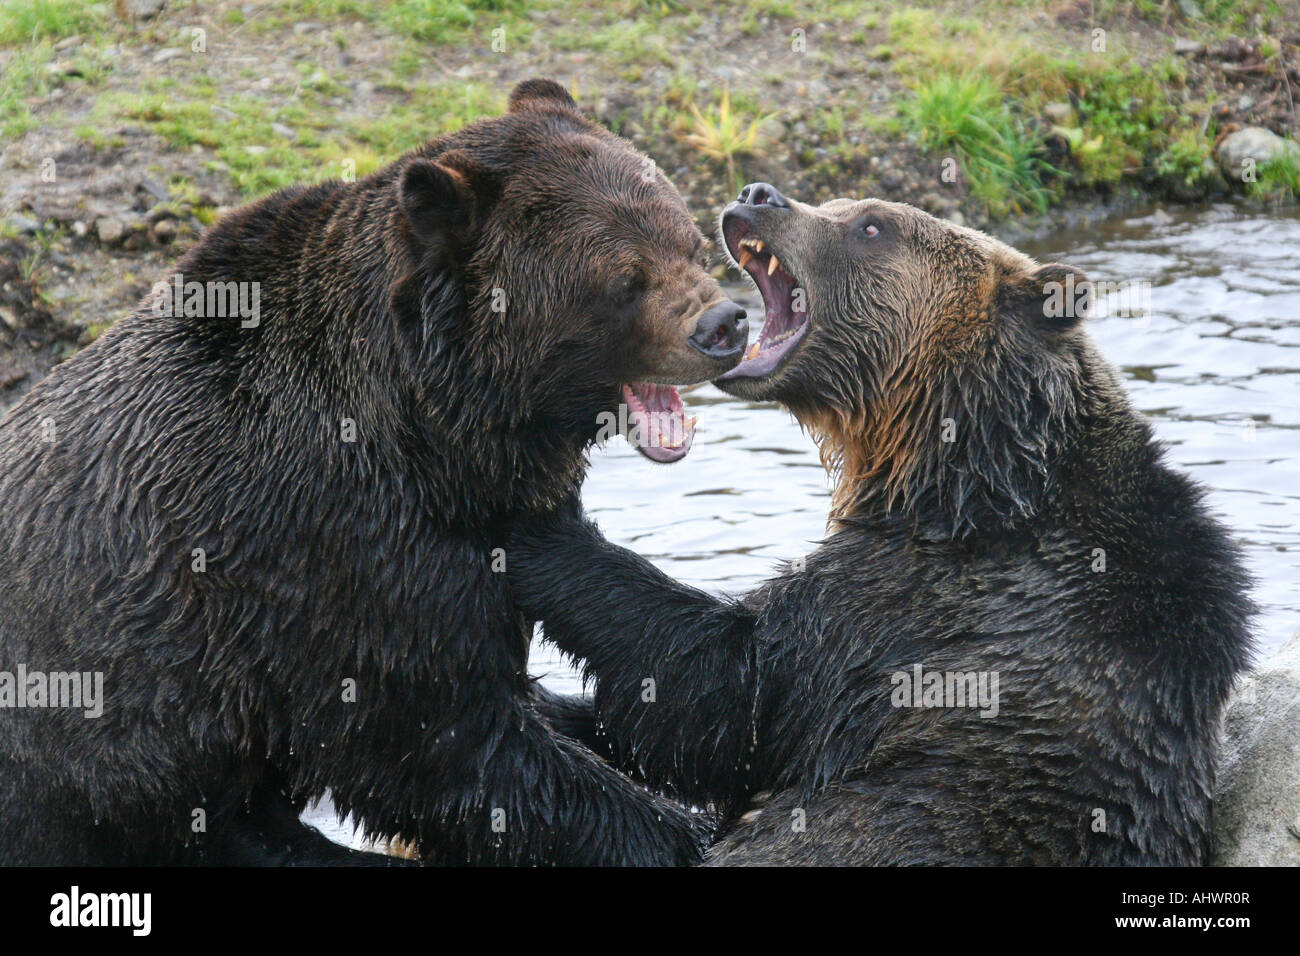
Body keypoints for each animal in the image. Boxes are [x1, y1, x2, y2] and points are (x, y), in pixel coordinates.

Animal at [0, 78, 749, 866]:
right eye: (624, 279)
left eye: (689, 240)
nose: (724, 324)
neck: (430, 425)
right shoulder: (328, 547)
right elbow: (440, 736)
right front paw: (680, 830)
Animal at [506, 182, 1256, 865]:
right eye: (841, 203)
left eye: (871, 225)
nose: (757, 193)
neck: (959, 476)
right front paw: (551, 702)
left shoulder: (926, 602)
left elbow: (724, 693)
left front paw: (542, 526)